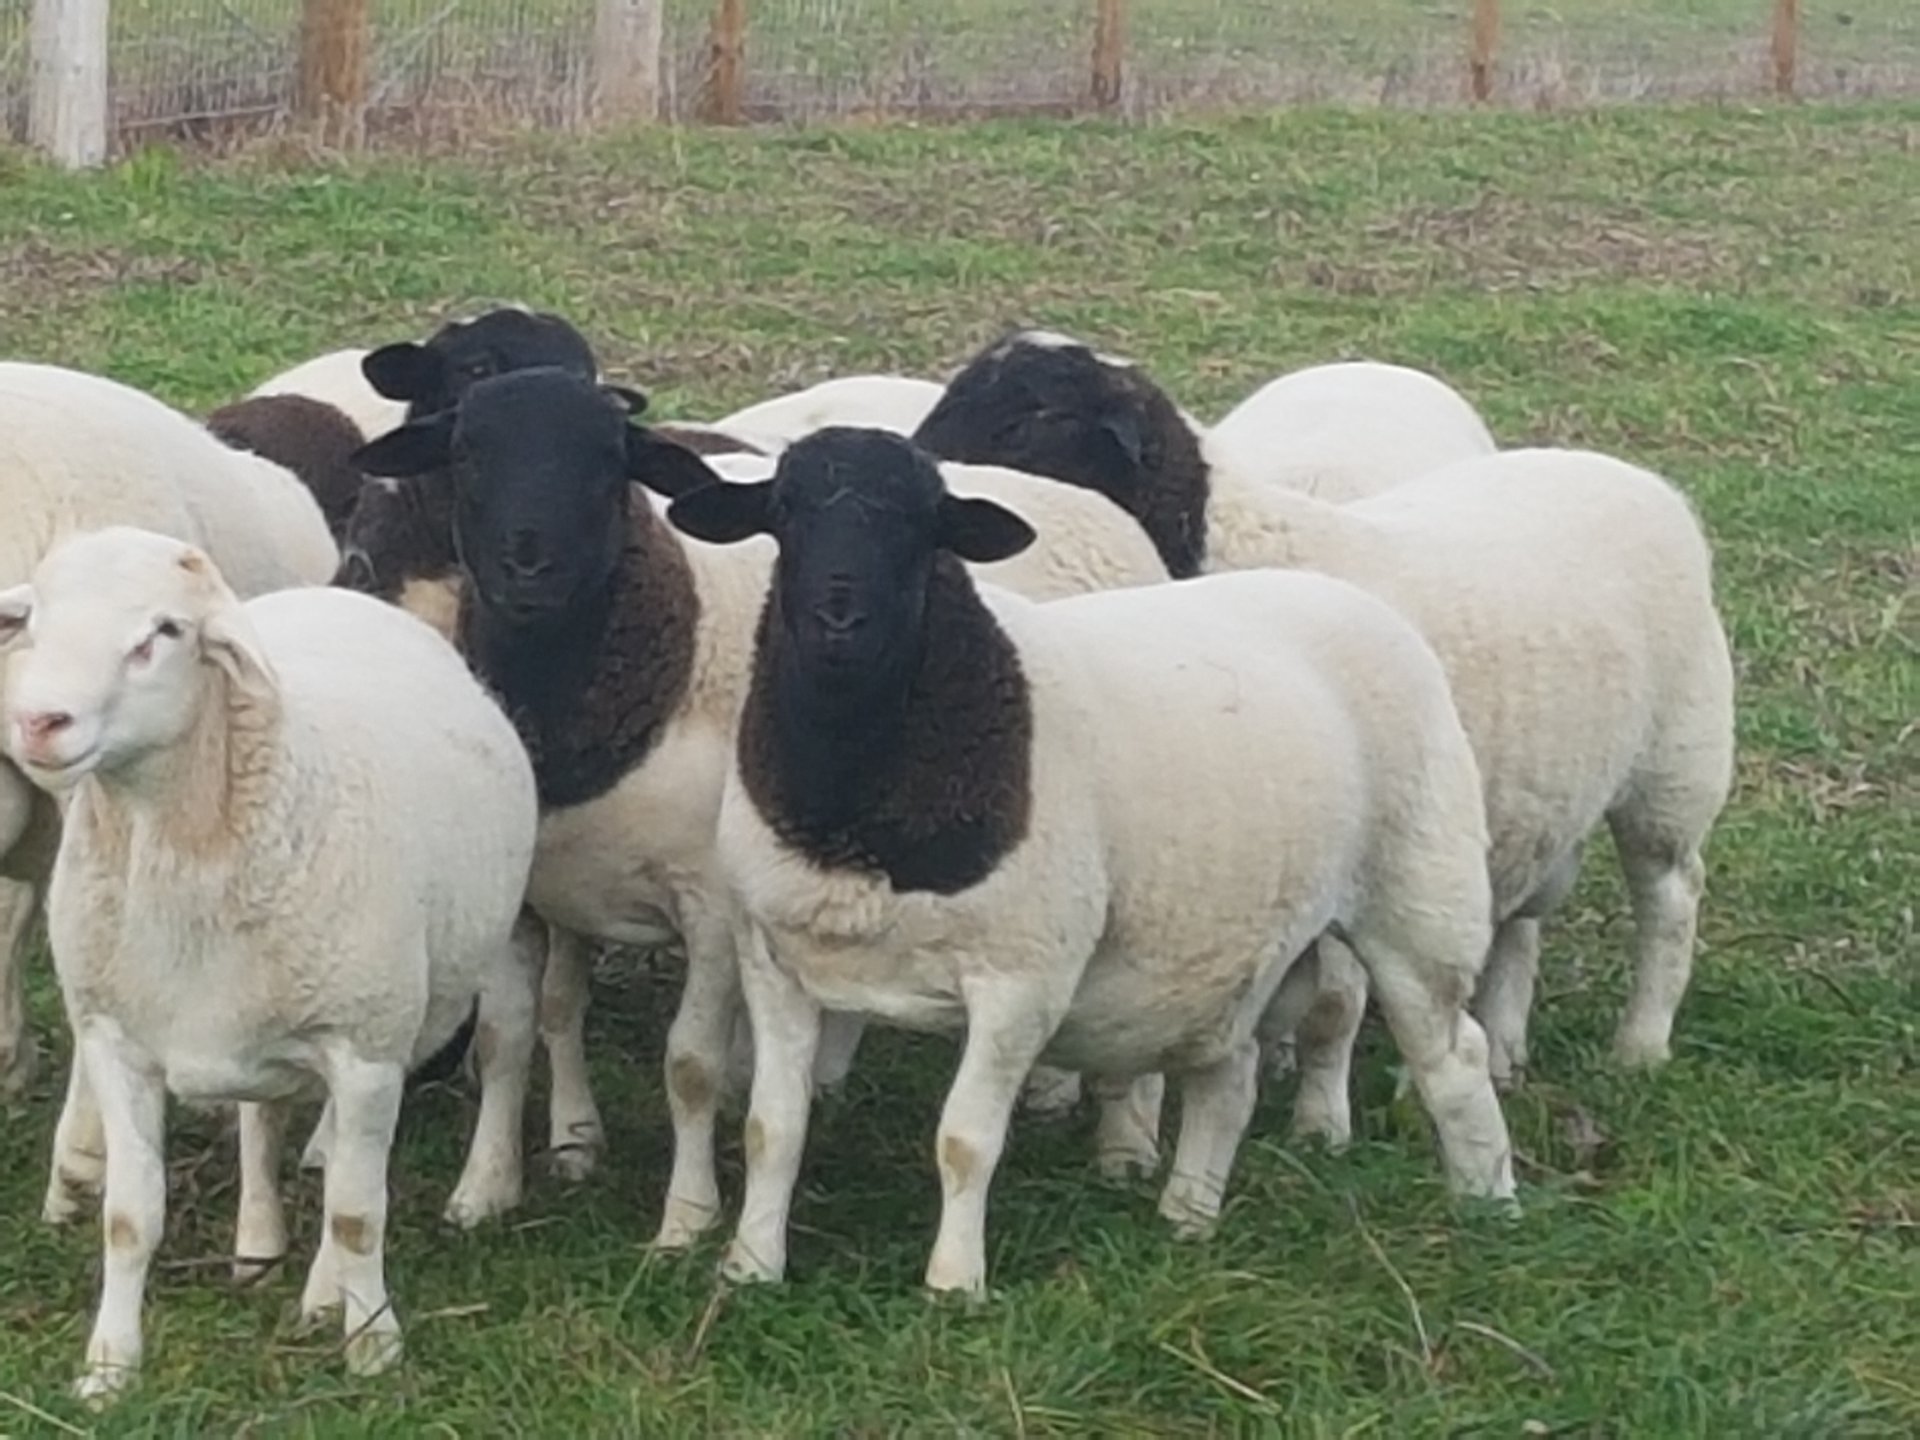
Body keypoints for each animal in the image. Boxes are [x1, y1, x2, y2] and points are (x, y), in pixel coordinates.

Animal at [0, 526, 540, 1399]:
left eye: (164, 632)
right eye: (34, 619)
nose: (41, 721)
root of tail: (347, 597)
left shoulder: (366, 1050)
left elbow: (356, 1213)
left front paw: (372, 1342)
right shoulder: (116, 1042)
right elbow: (129, 1217)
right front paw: (110, 1368)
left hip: (414, 1001)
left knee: (382, 1135)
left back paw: (331, 1286)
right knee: (265, 1115)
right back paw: (258, 1242)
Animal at [348, 367, 1174, 1240]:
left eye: (609, 460)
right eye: (468, 451)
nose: (528, 570)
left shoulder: (712, 905)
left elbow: (690, 1064)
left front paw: (687, 1216)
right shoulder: (532, 894)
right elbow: (511, 1035)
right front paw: (493, 1185)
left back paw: (1122, 1138)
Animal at [663, 426, 1513, 1294]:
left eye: (924, 522)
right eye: (782, 509)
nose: (840, 616)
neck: (860, 807)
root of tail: (1356, 600)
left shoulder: (1021, 981)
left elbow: (965, 1140)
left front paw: (953, 1285)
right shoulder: (777, 963)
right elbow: (773, 1126)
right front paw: (750, 1265)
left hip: (1419, 897)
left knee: (1455, 1053)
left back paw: (1488, 1206)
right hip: (1241, 946)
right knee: (1229, 1078)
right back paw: (1188, 1216)